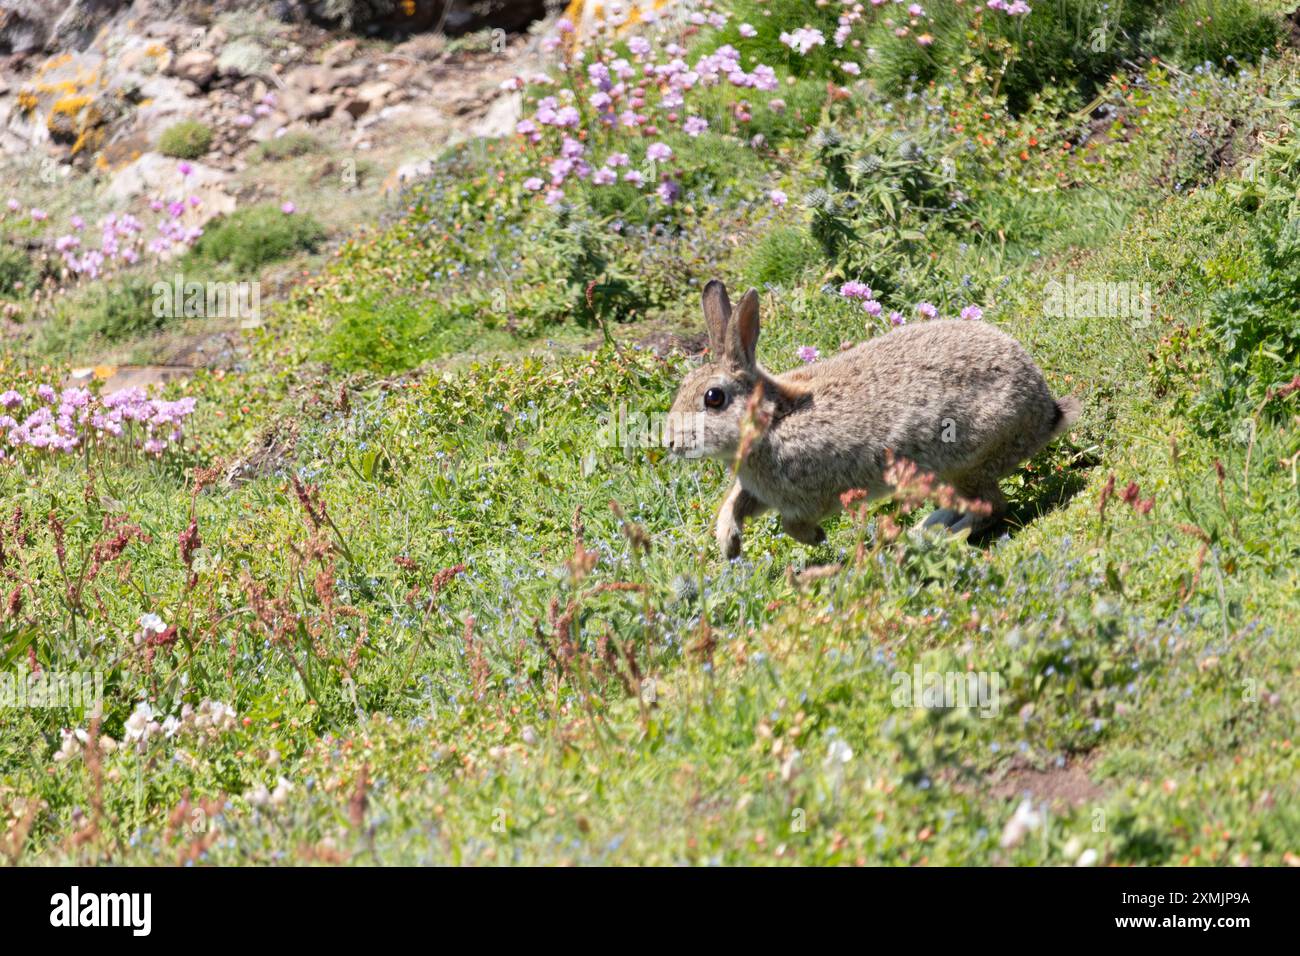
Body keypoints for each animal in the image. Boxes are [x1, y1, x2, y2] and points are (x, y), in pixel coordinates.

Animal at [665, 279, 1080, 559]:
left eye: (713, 398)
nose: (669, 442)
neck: (774, 420)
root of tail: (1044, 412)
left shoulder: (811, 493)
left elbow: (791, 523)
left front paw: (816, 538)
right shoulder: (758, 491)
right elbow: (735, 503)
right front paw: (729, 543)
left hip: (966, 460)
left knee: (992, 506)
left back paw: (932, 537)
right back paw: (926, 527)